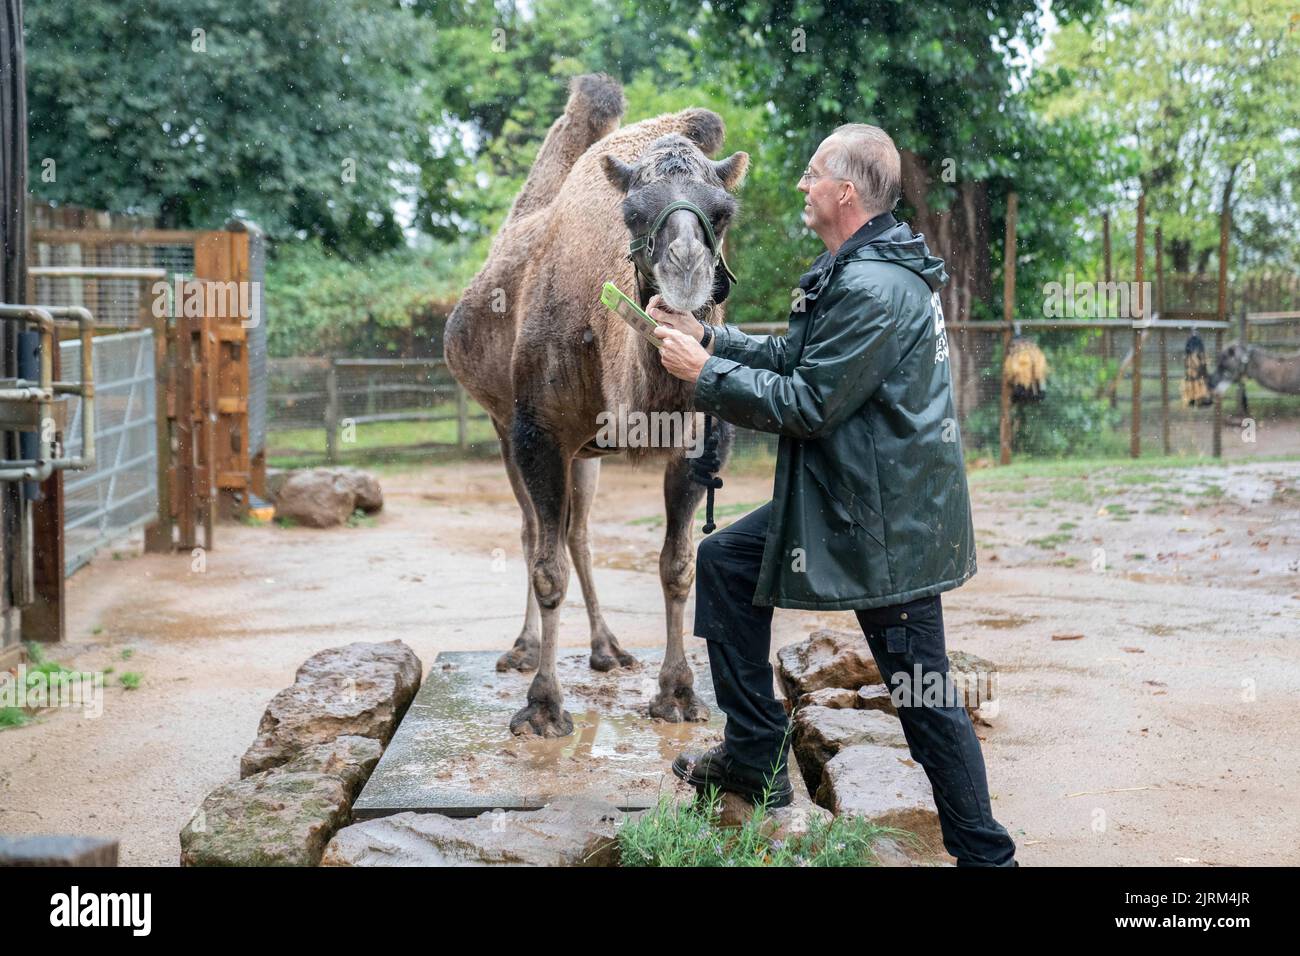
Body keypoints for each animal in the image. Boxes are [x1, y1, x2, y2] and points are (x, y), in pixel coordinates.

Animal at [443, 74, 749, 738]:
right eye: (632, 212)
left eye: (722, 212)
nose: (687, 270)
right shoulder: (537, 433)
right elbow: (546, 565)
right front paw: (542, 706)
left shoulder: (698, 441)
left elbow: (677, 565)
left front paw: (678, 693)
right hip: (503, 427)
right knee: (535, 531)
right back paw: (525, 648)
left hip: (587, 453)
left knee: (577, 533)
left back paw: (607, 648)